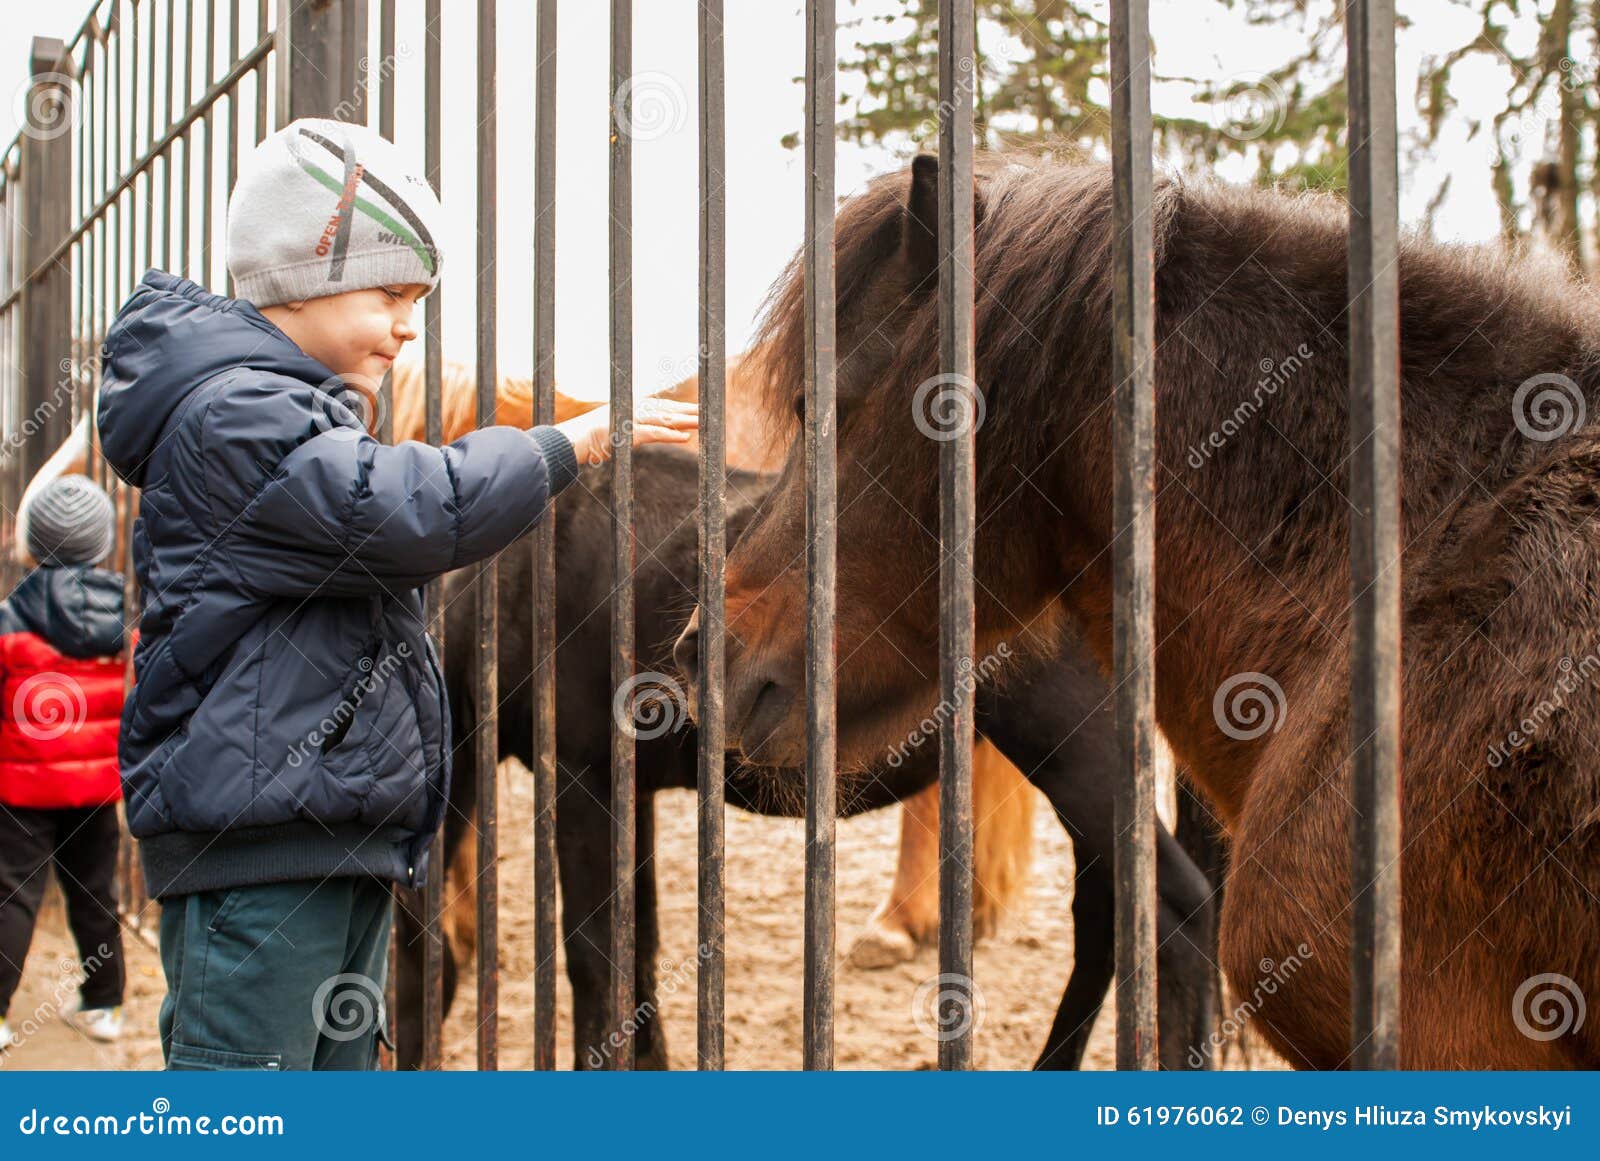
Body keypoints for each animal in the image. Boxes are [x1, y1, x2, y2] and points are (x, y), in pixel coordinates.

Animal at [395, 444, 1216, 1069]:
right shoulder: (627, 790)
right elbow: (637, 950)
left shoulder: (583, 773)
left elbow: (596, 956)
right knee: (1106, 917)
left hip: (1078, 753)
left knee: (1176, 914)